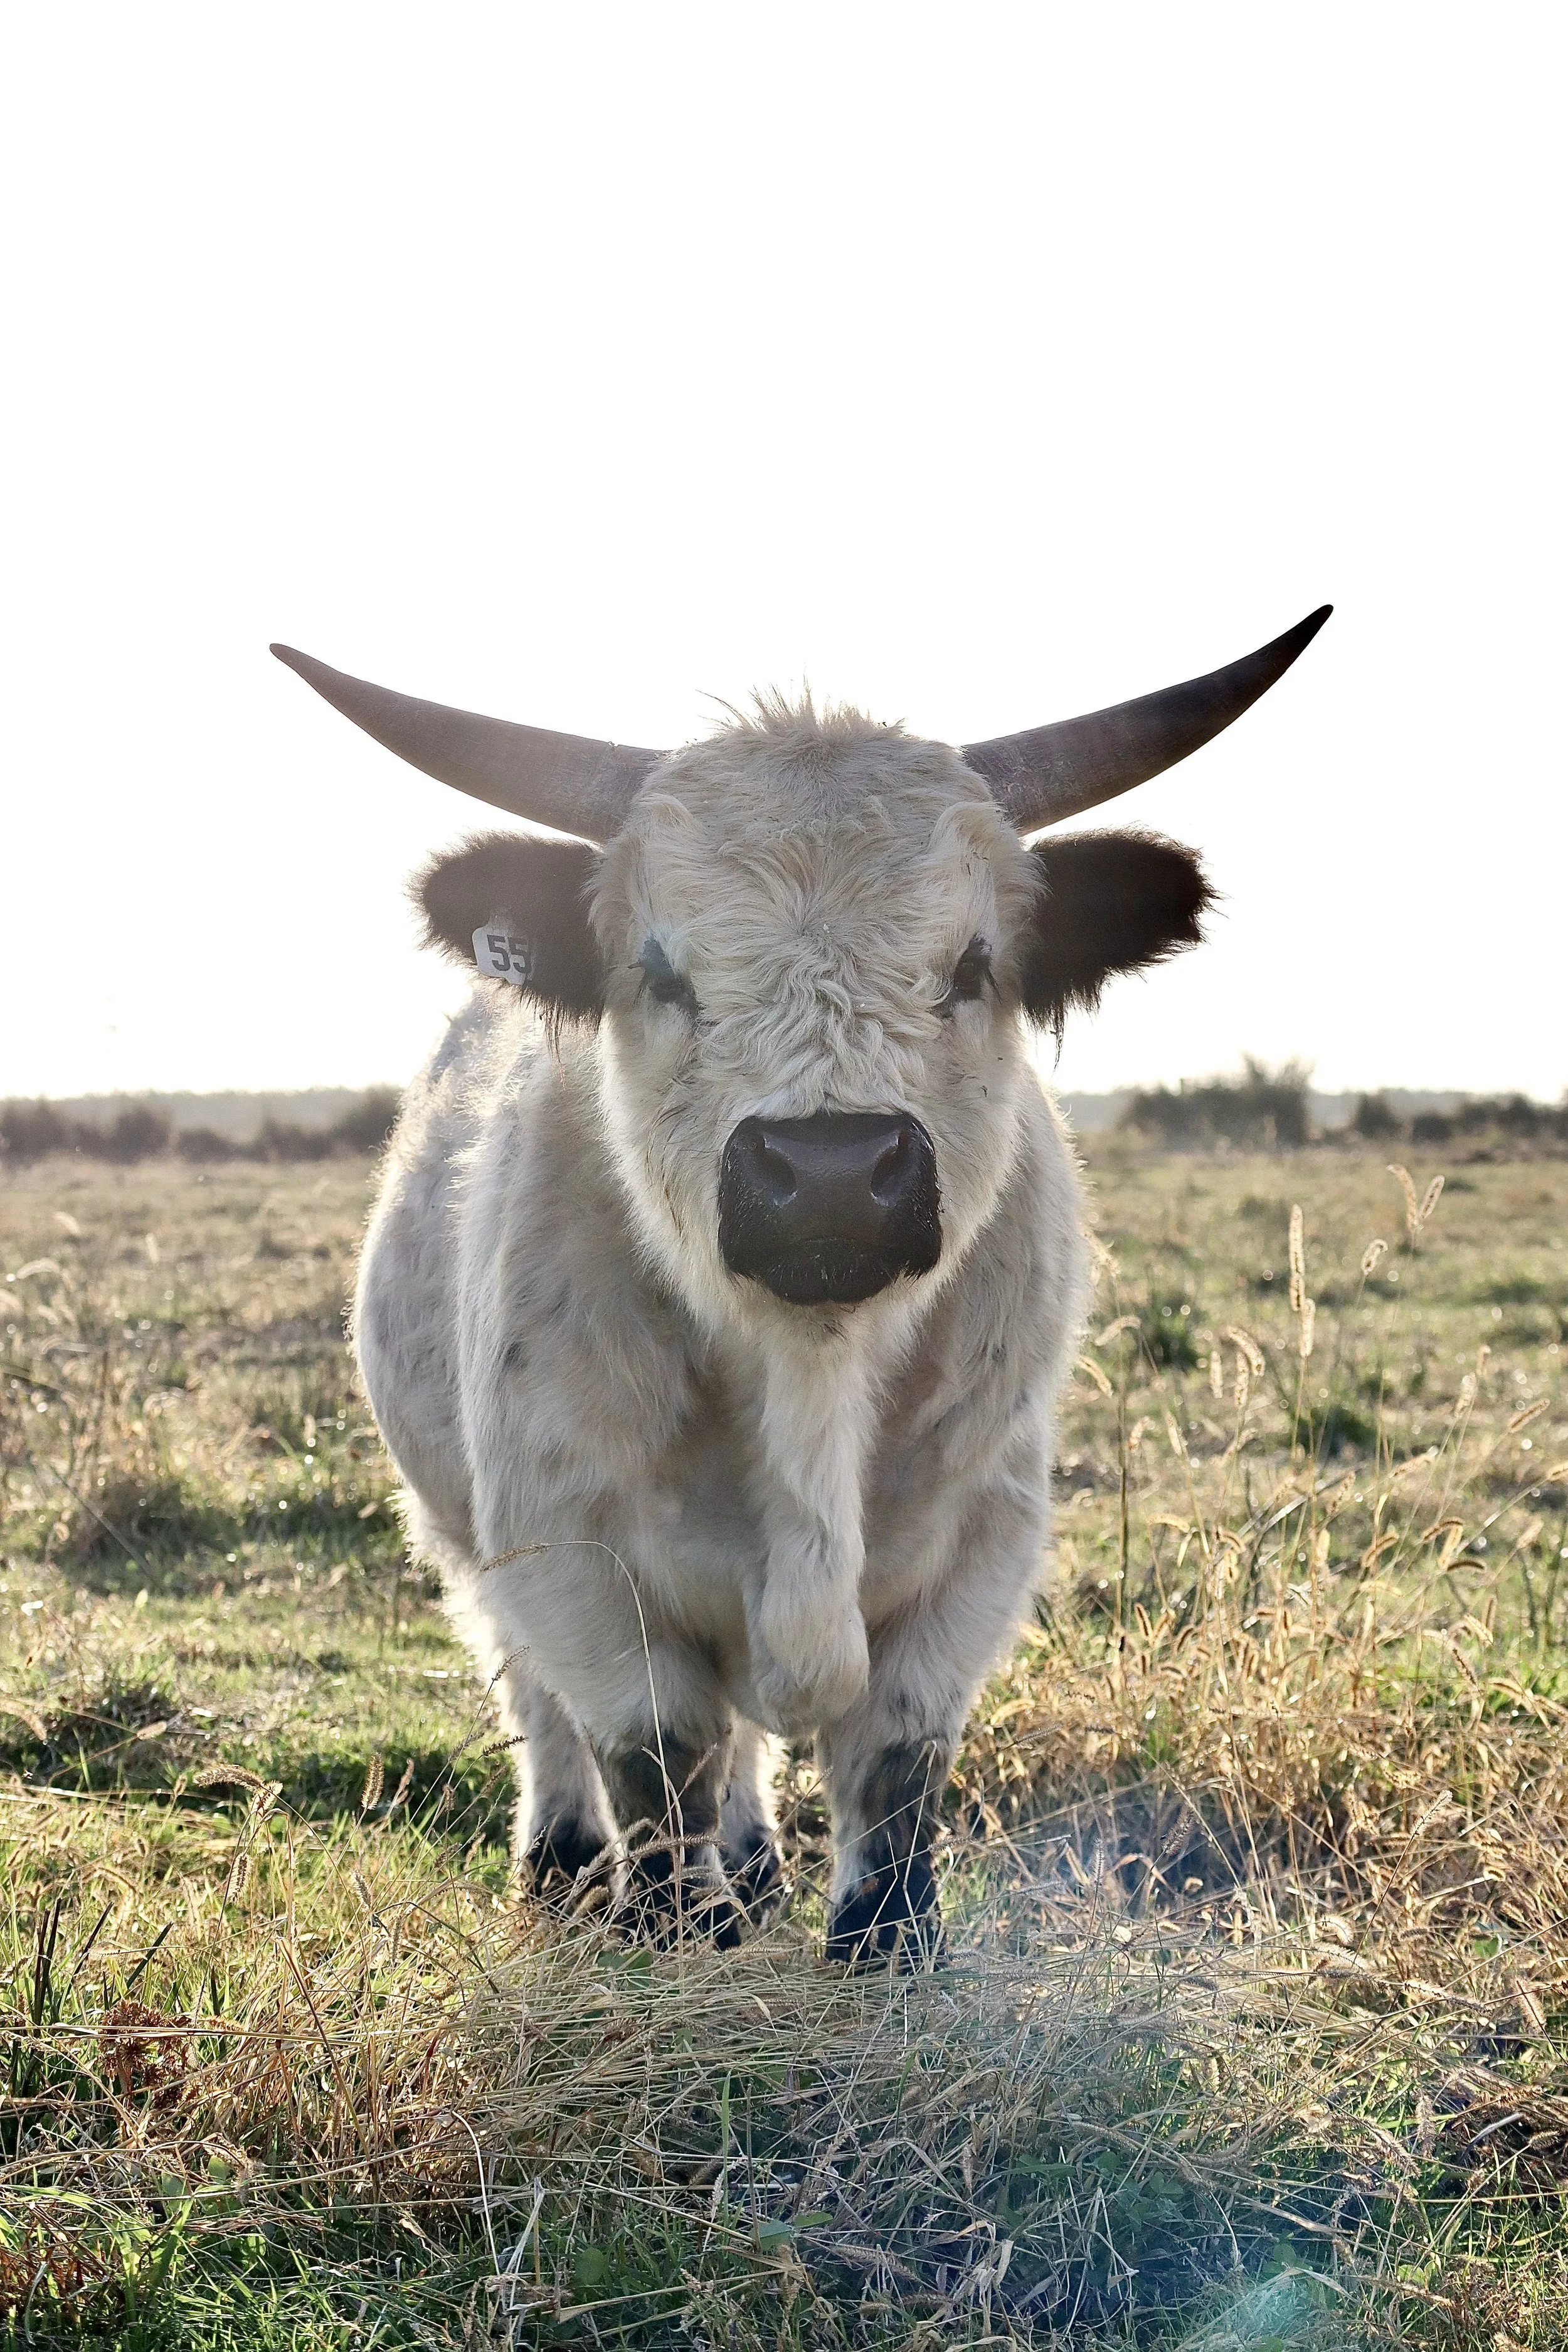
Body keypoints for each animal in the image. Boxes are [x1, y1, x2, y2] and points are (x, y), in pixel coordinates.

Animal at [272, 608, 1329, 1962]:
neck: (808, 1380)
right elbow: (653, 1751)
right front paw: (674, 1931)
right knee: (547, 1704)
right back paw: (564, 1857)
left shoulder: (981, 1536)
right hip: (463, 1530)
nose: (829, 1176)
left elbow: (894, 1762)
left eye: (972, 964)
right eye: (661, 969)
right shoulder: (567, 1546)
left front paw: (884, 1943)